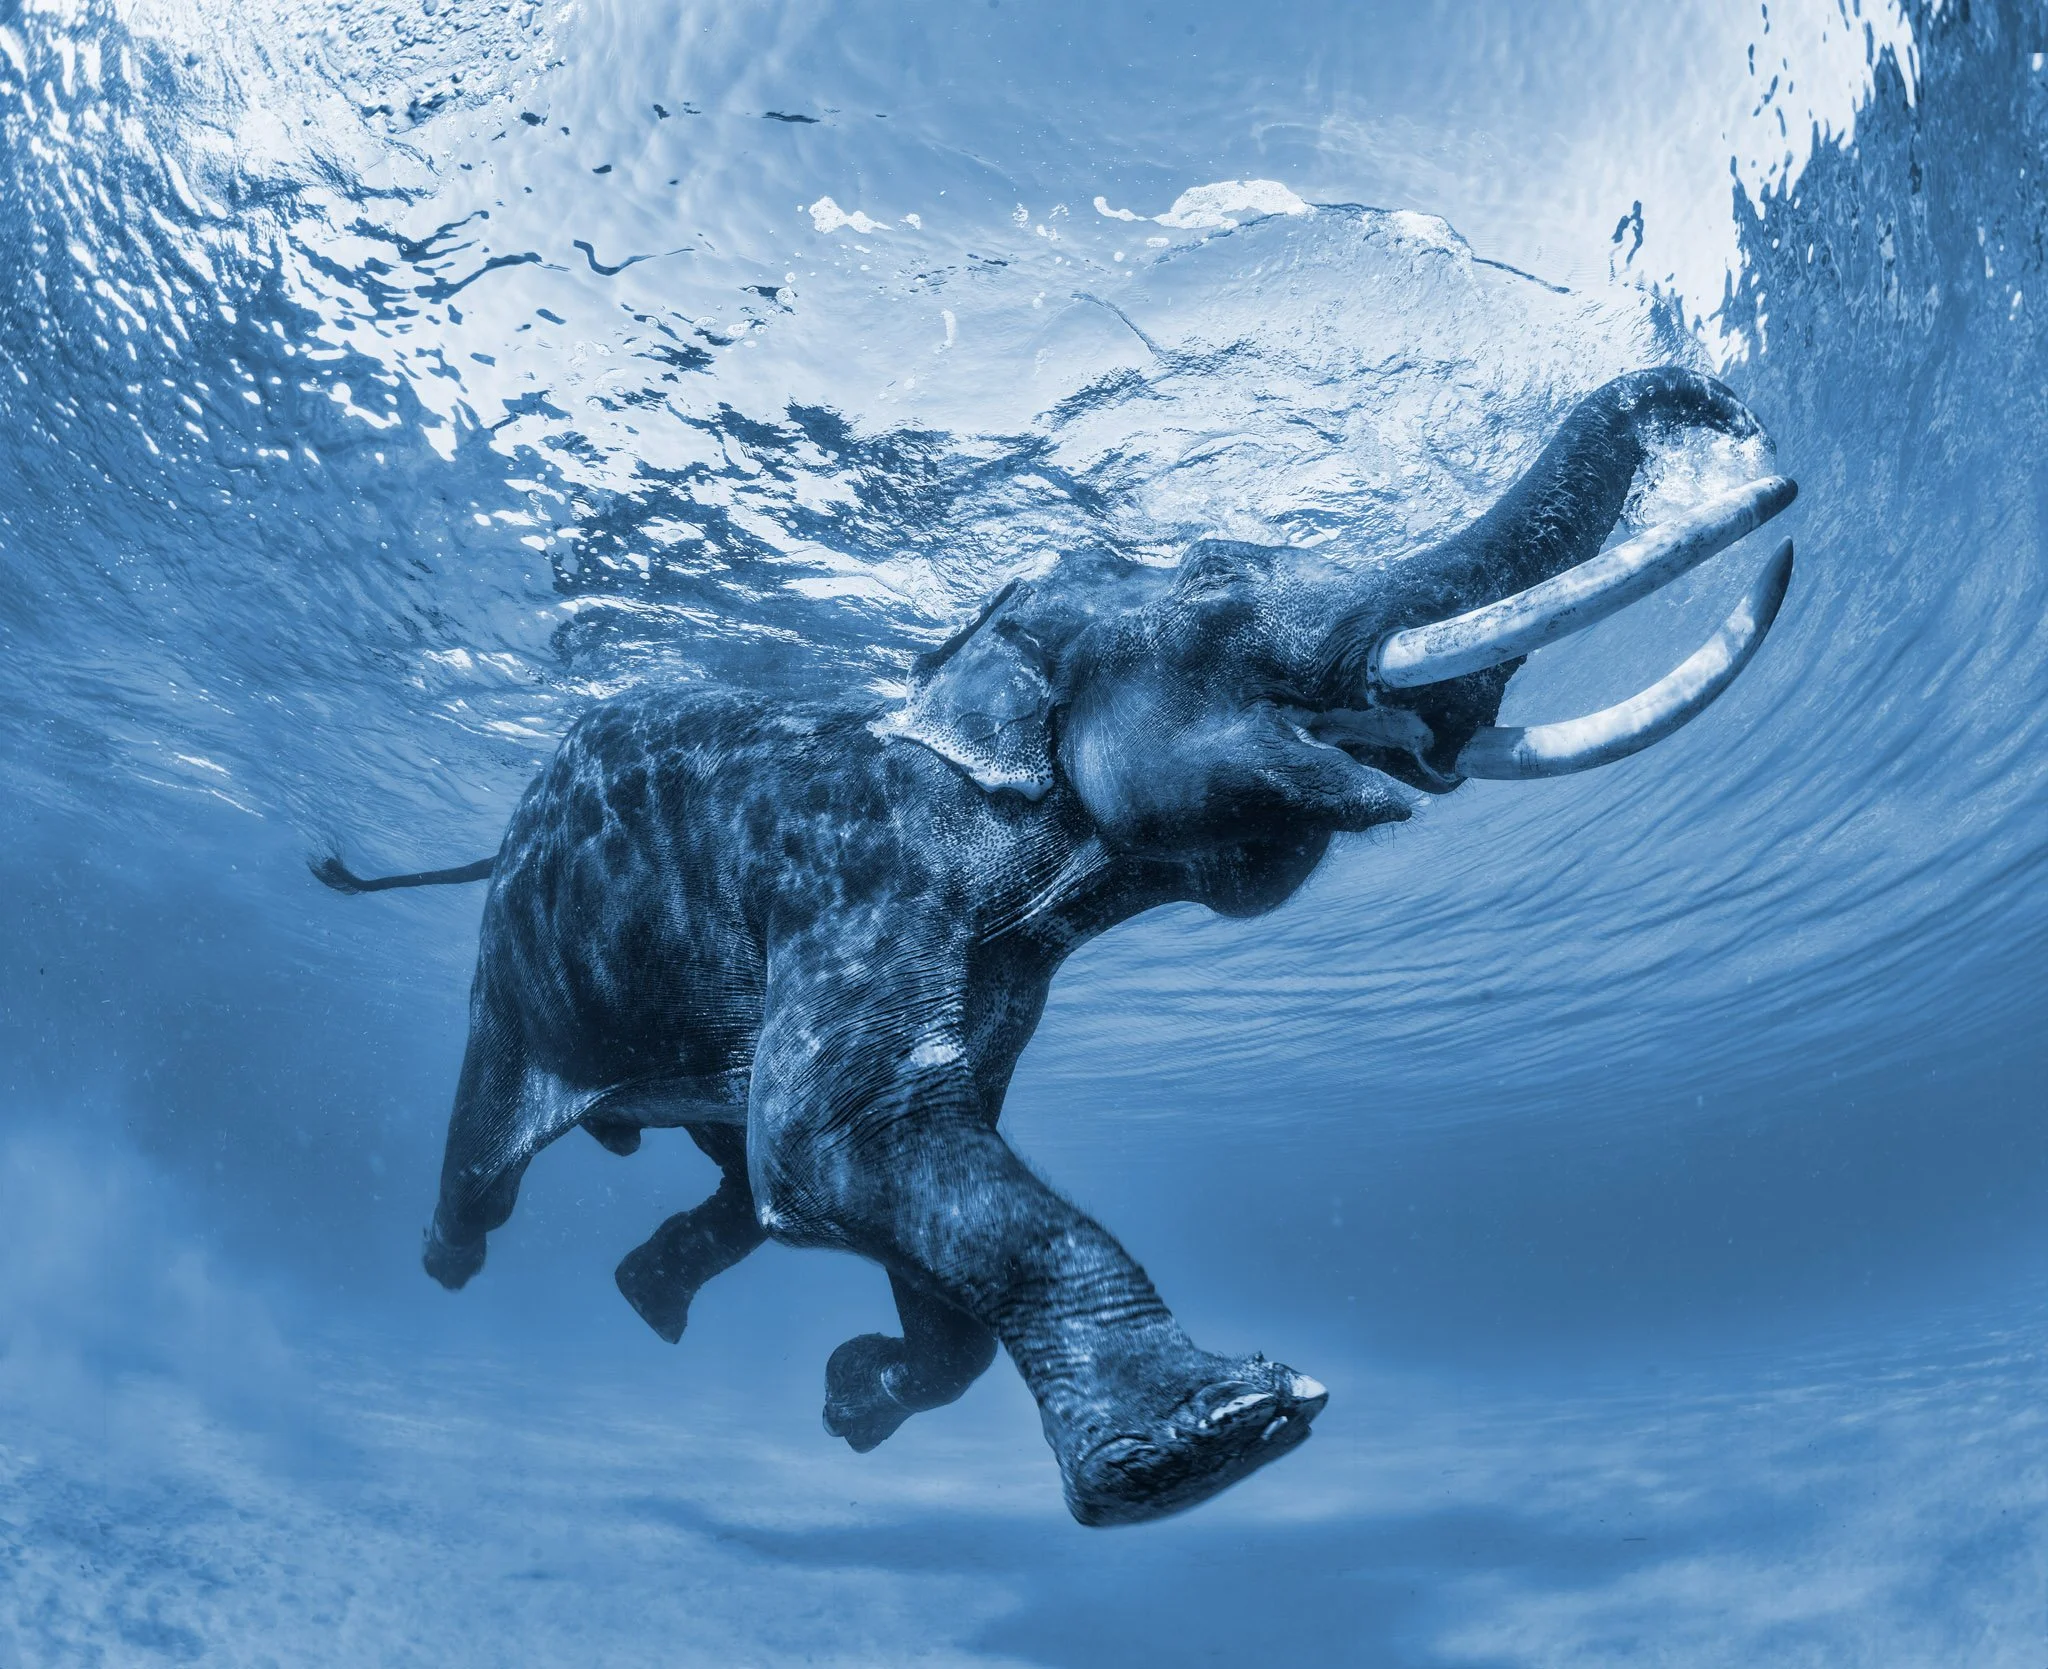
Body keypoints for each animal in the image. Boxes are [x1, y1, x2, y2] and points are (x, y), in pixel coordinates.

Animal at [316, 368, 1798, 1527]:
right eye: (1217, 576)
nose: (1744, 431)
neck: (949, 676)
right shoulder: (856, 888)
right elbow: (845, 1143)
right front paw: (1227, 1434)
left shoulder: (997, 980)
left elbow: (891, 1167)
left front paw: (857, 1395)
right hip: (511, 986)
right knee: (496, 1173)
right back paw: (456, 1260)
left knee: (732, 1177)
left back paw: (649, 1298)